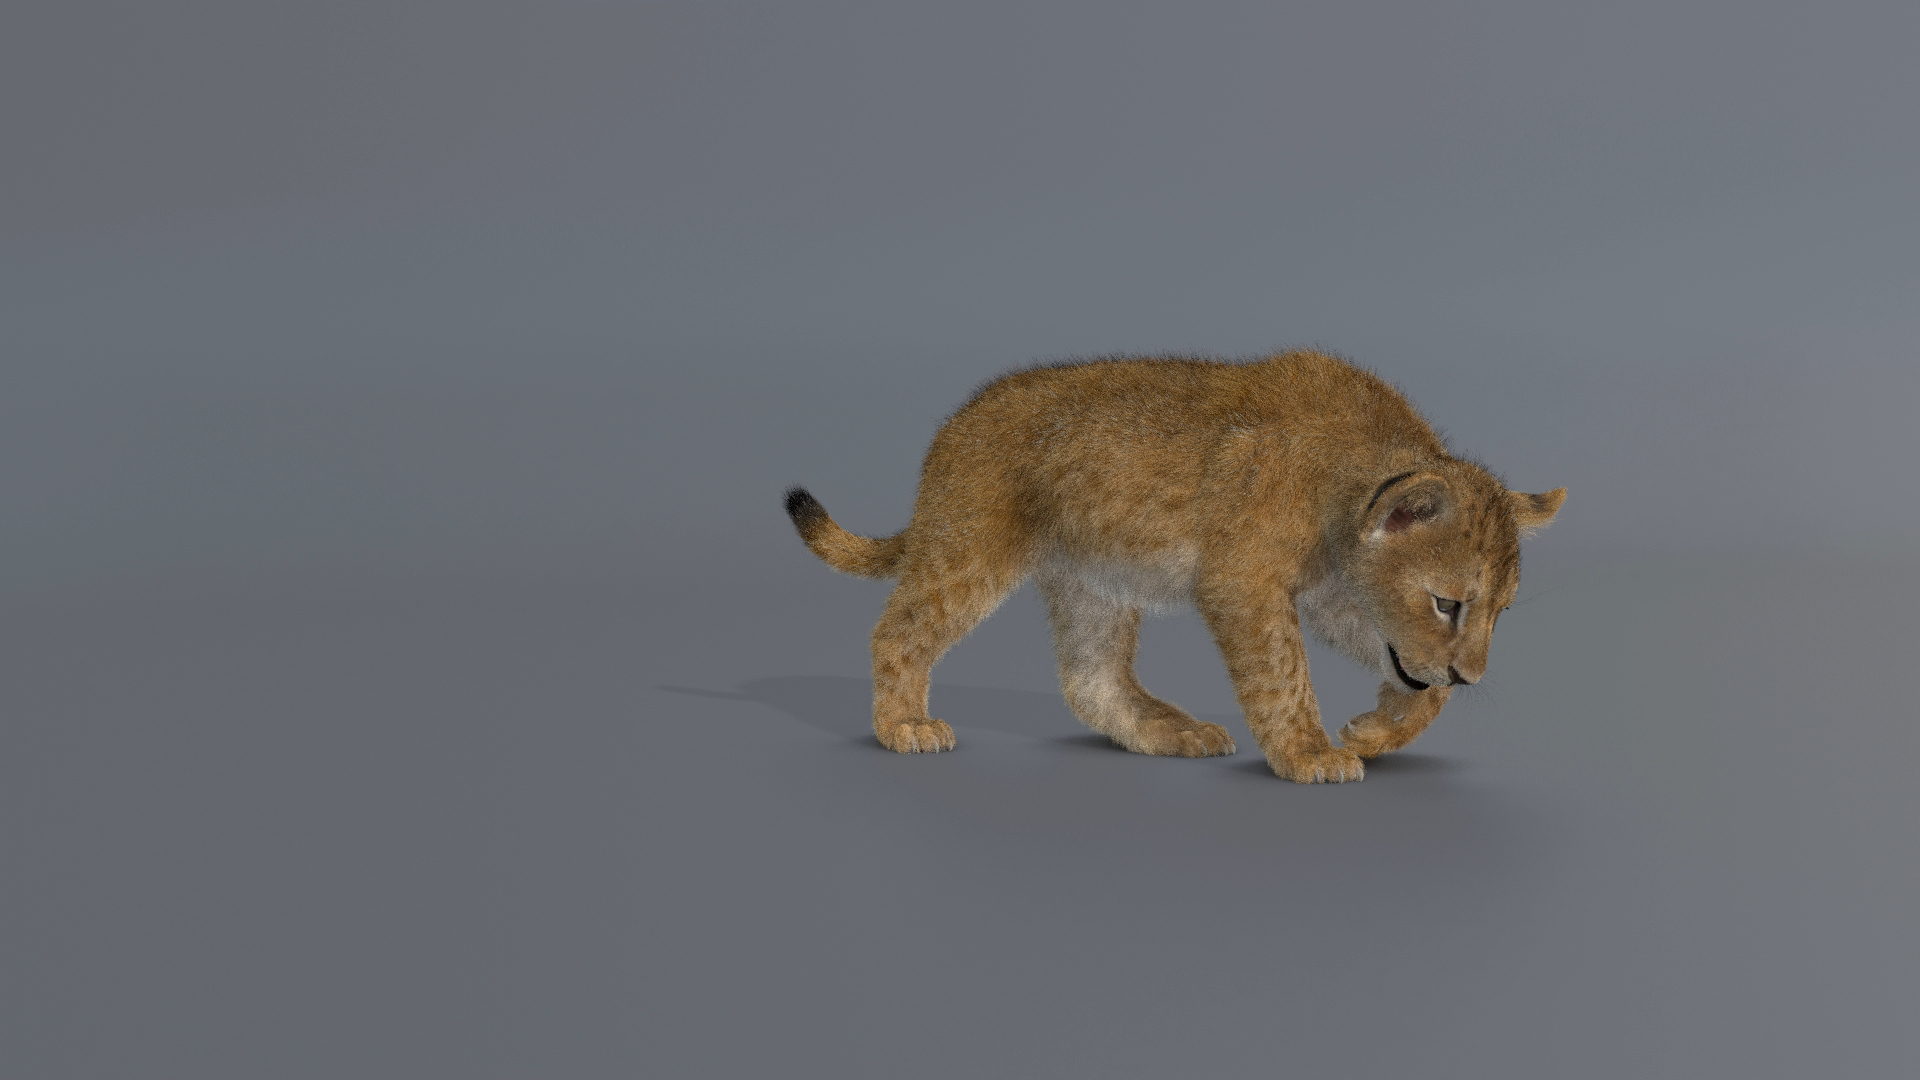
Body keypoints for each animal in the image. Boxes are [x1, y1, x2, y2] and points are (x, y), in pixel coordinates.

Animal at [784, 350, 1563, 782]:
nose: (1474, 678)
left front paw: (1378, 730)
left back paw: (1173, 732)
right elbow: (1283, 673)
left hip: (1093, 583)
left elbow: (1416, 684)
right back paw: (904, 726)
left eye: (1499, 613)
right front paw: (1310, 754)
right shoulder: (1243, 580)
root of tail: (951, 428)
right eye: (1446, 603)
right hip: (971, 549)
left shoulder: (1335, 595)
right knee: (901, 630)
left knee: (1091, 678)